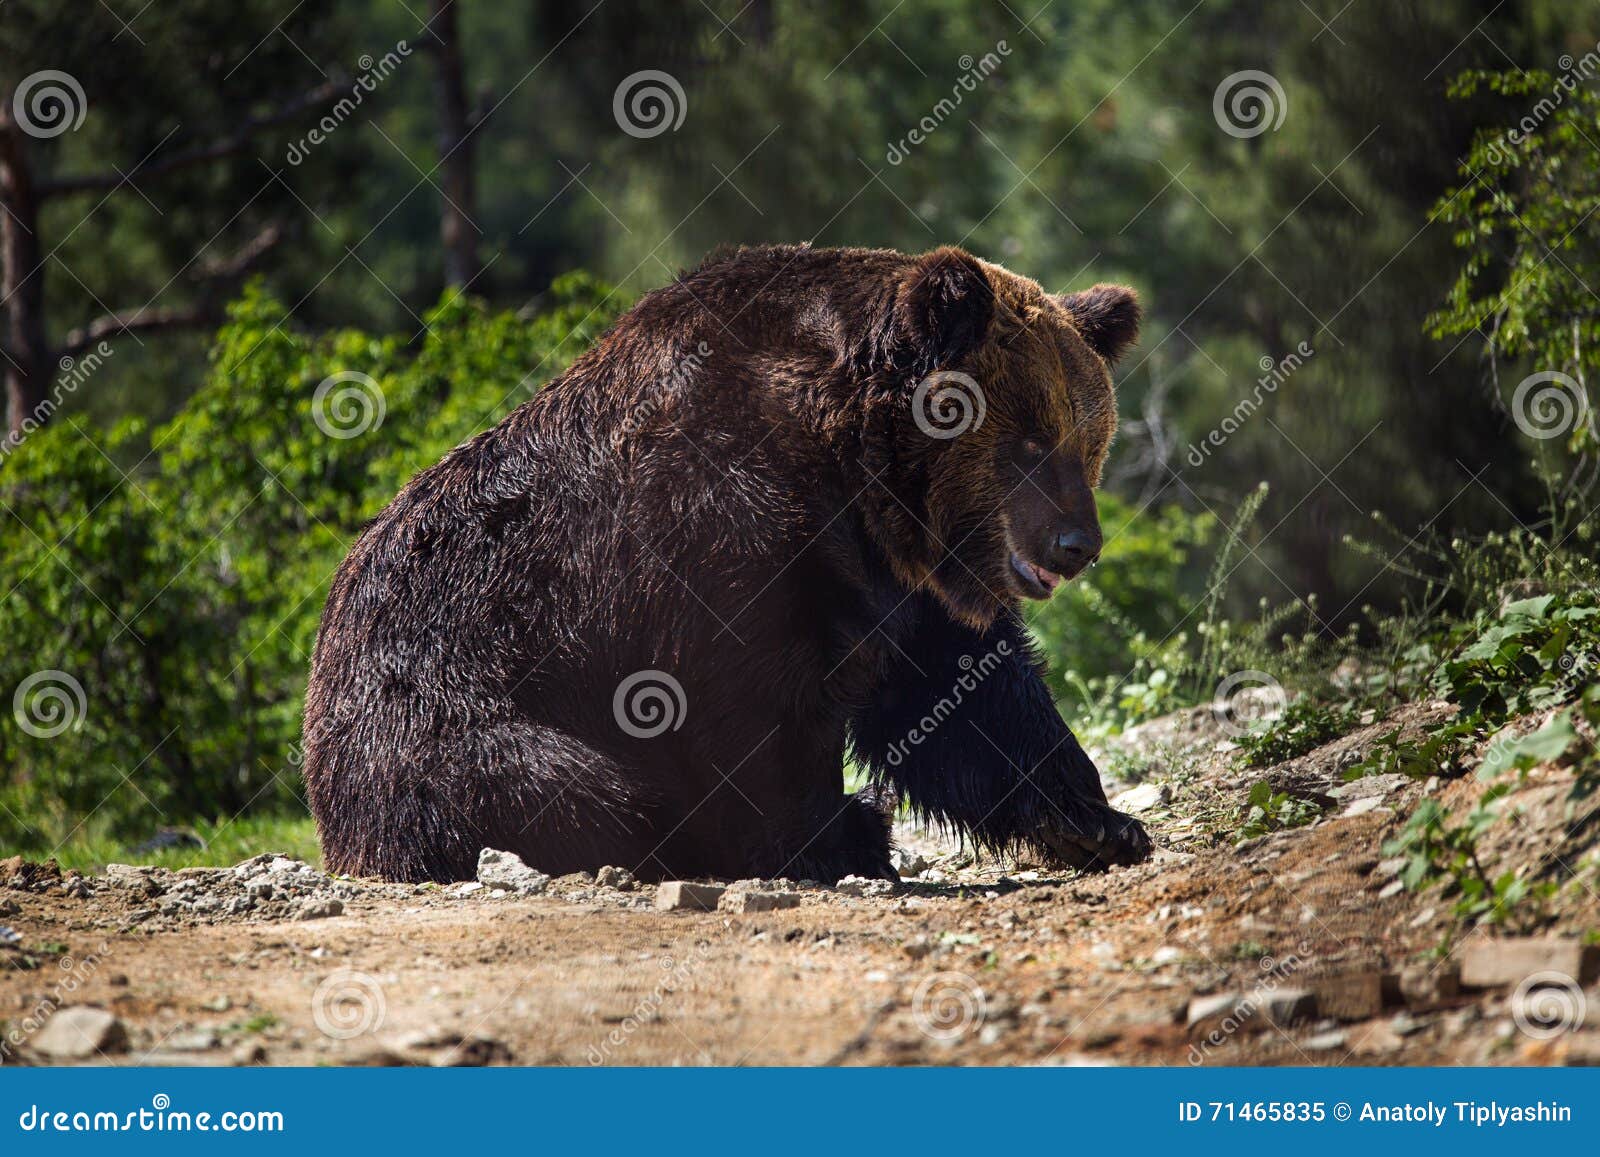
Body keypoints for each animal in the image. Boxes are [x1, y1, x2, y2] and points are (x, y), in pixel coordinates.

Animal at [301, 243, 1153, 884]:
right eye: (1029, 442)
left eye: (1089, 439)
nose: (1077, 544)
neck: (854, 464)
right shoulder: (719, 521)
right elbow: (751, 701)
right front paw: (824, 839)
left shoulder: (894, 574)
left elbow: (971, 693)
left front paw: (1098, 822)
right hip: (434, 695)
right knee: (556, 779)